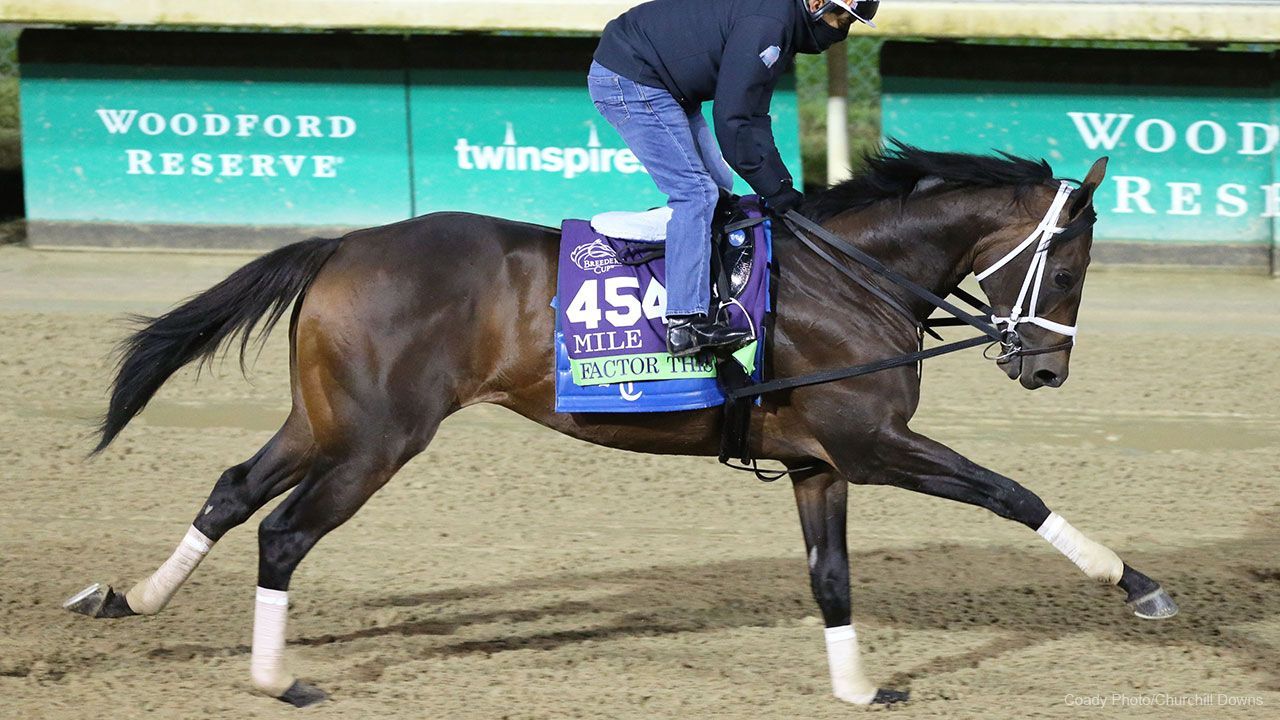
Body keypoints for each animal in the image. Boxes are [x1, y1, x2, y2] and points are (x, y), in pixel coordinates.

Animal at [65, 145, 1177, 708]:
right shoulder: (870, 445)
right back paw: (277, 679)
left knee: (230, 491)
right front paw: (1138, 585)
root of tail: (344, 244)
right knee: (283, 533)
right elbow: (1009, 491)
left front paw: (859, 687)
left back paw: (130, 599)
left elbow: (830, 578)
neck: (853, 277)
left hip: (327, 418)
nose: (1045, 367)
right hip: (379, 439)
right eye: (1071, 263)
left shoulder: (819, 463)